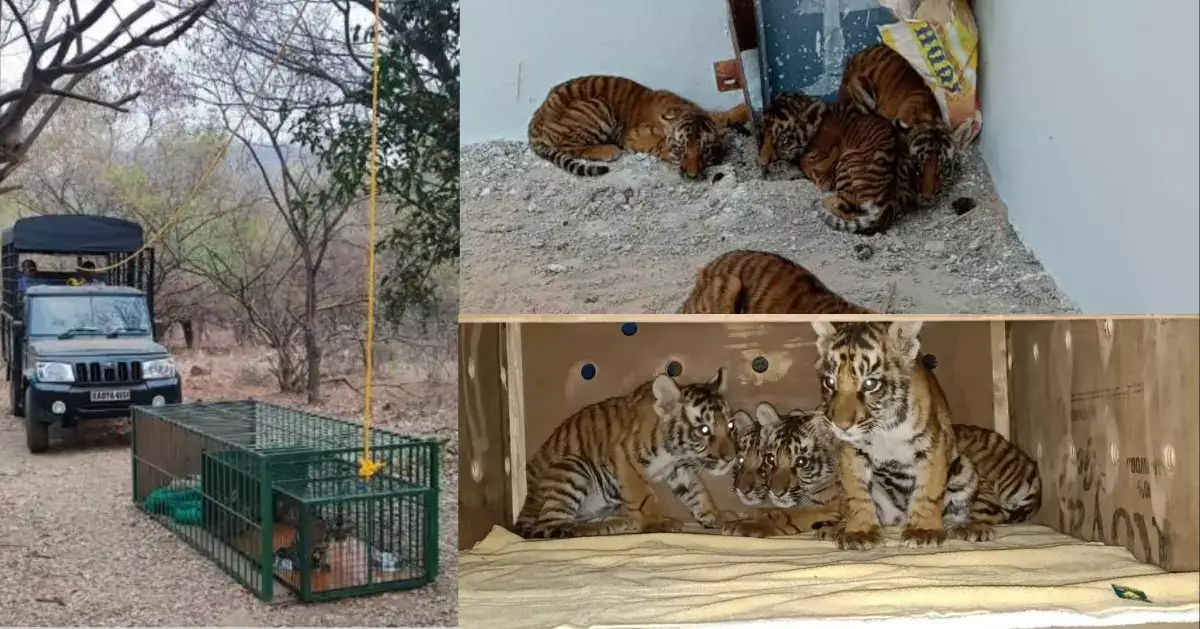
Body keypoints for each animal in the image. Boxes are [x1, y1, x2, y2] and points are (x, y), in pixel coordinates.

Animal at [512, 367, 740, 539]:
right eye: (704, 430)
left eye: (730, 425)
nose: (731, 459)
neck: (675, 452)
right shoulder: (628, 458)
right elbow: (644, 495)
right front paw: (657, 523)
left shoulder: (679, 468)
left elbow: (697, 492)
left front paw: (715, 515)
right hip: (573, 467)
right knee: (551, 526)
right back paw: (602, 527)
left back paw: (619, 522)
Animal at [527, 75, 749, 179]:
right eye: (681, 149)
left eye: (704, 151)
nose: (692, 176)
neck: (683, 109)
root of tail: (535, 119)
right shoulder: (633, 136)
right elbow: (659, 143)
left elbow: (720, 115)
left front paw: (742, 110)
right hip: (598, 106)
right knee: (568, 146)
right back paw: (608, 150)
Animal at [757, 92, 916, 235]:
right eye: (762, 133)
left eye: (781, 140)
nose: (762, 162)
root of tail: (889, 203)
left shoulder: (822, 172)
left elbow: (805, 163)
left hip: (847, 159)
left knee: (844, 208)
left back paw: (823, 201)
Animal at [809, 320, 995, 549]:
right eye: (830, 382)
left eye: (870, 384)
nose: (841, 426)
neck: (883, 429)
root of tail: (899, 518)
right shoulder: (852, 452)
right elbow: (857, 494)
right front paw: (860, 532)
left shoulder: (933, 446)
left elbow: (928, 491)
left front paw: (923, 531)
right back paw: (834, 529)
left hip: (964, 469)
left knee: (958, 513)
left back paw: (968, 527)